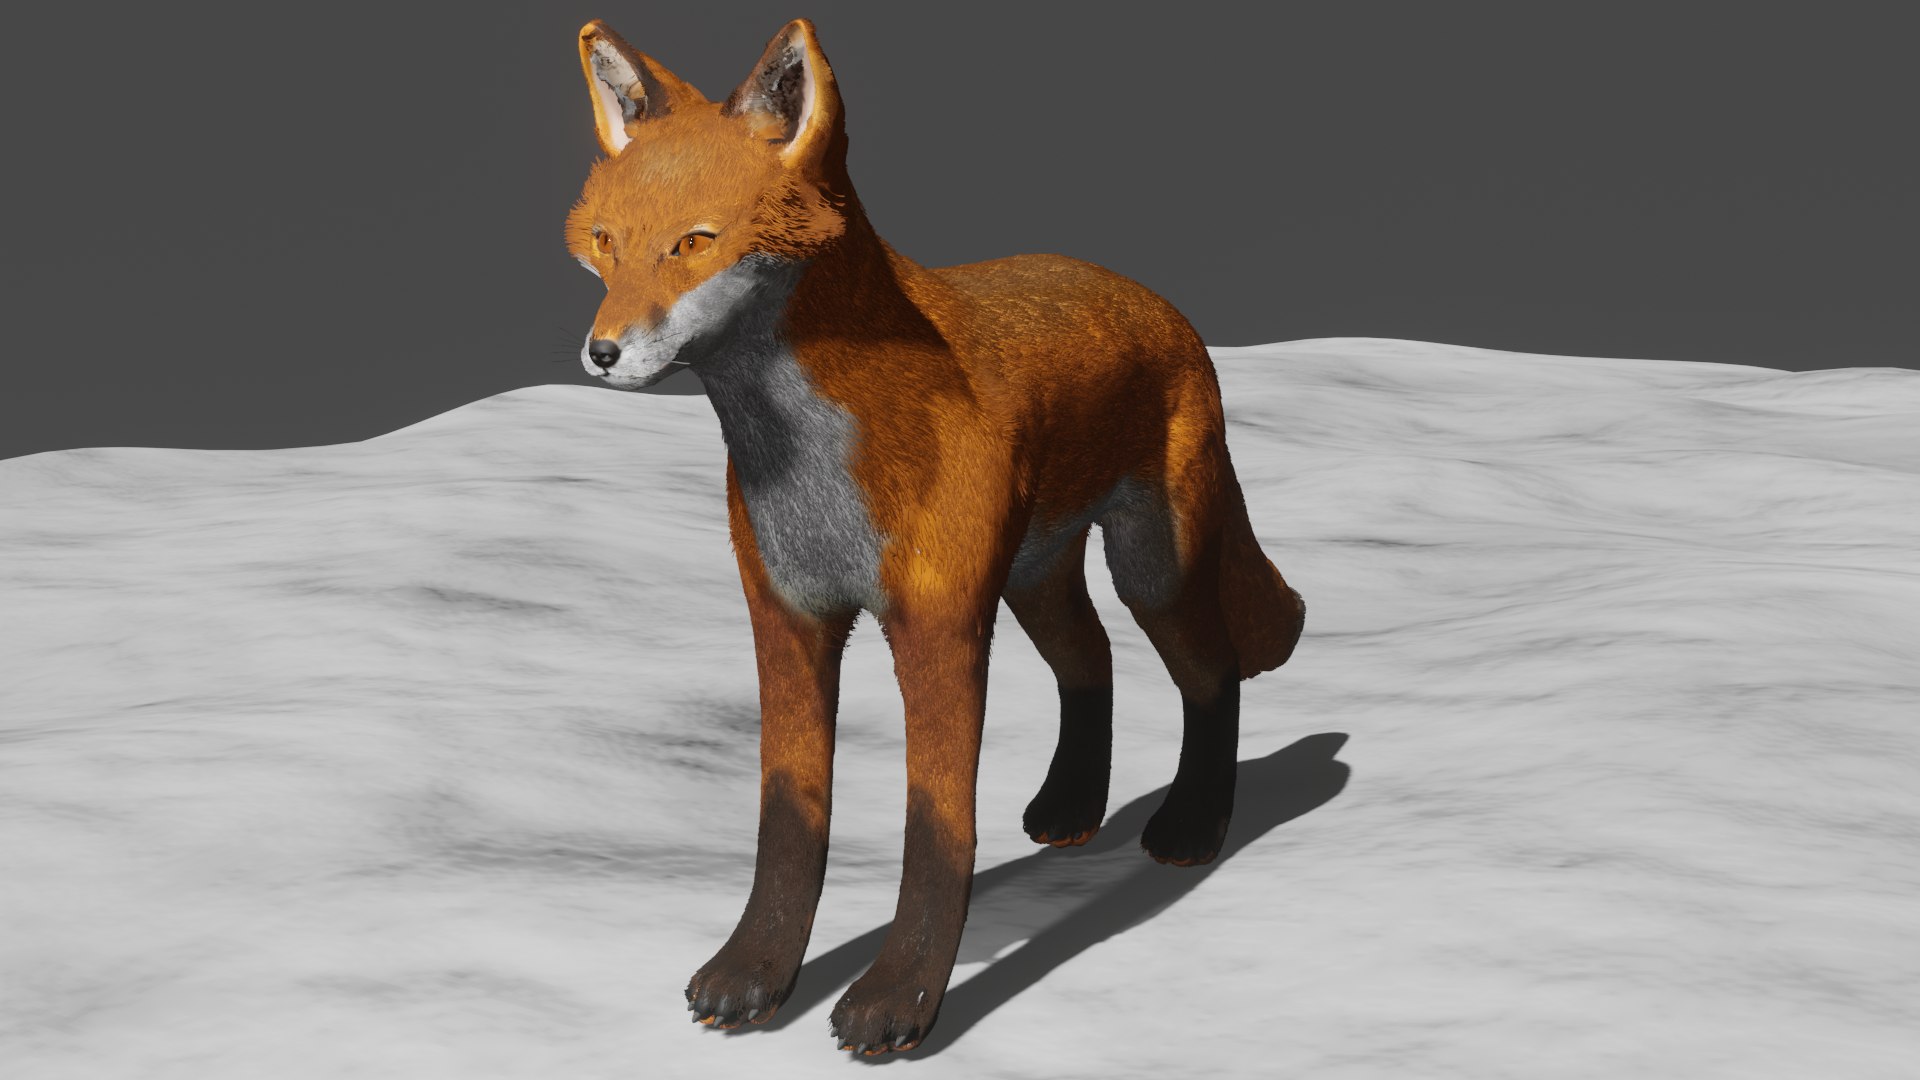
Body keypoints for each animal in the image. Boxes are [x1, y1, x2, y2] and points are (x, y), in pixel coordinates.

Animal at [567, 17, 1305, 1055]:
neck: (812, 463)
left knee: (1212, 673)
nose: (602, 353)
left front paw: (901, 997)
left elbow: (936, 827)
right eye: (606, 241)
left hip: (1149, 567)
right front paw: (758, 970)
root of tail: (1153, 300)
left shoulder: (938, 627)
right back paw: (1074, 805)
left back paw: (1193, 825)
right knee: (1092, 663)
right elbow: (788, 816)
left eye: (695, 243)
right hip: (1035, 579)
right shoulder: (786, 617)